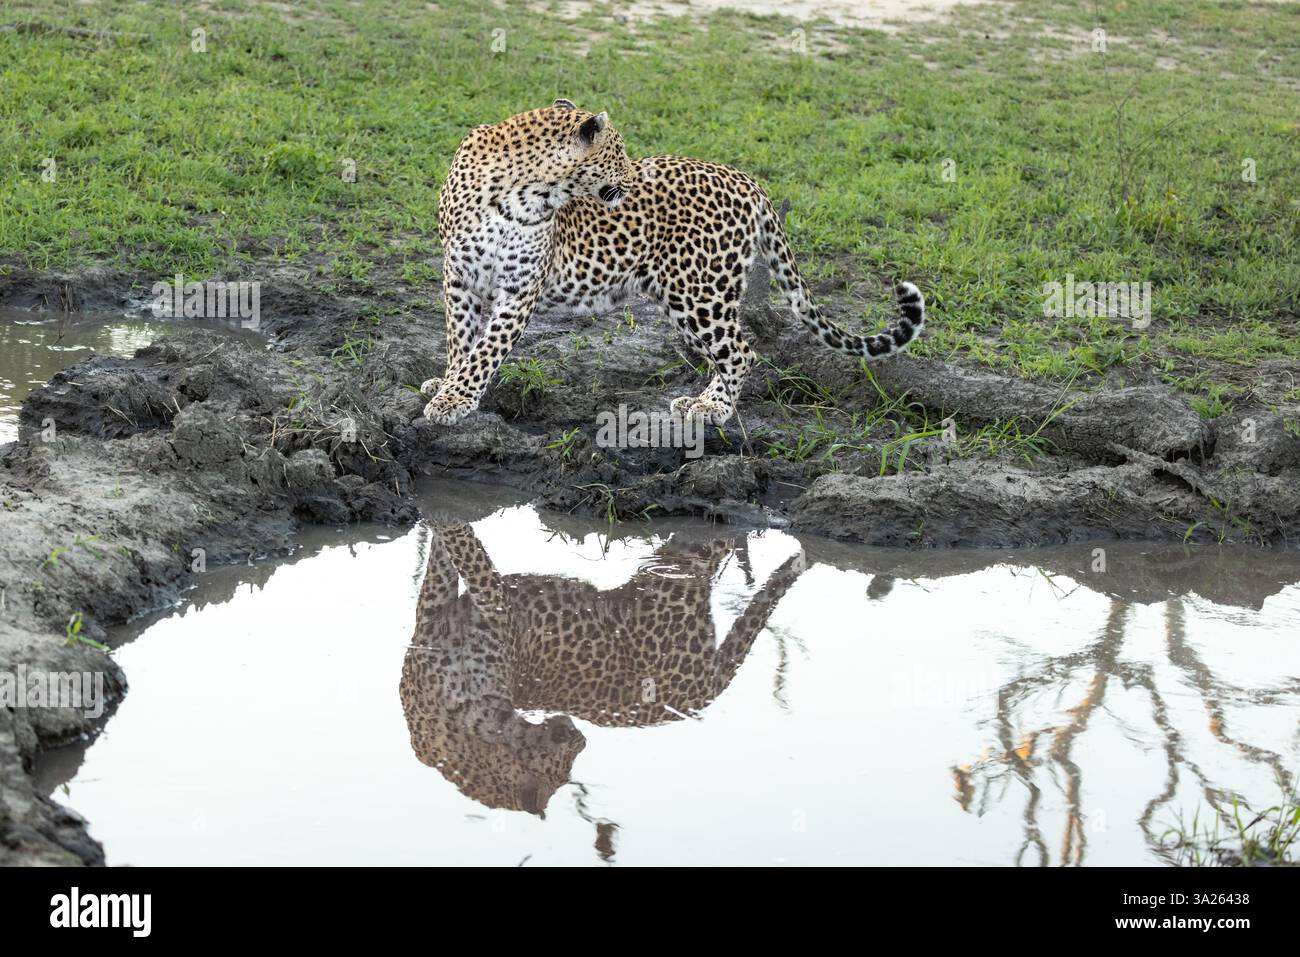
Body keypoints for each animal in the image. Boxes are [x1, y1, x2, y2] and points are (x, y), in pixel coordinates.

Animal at [399, 522, 805, 816]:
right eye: (565, 767)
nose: (581, 739)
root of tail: (698, 697)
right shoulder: (439, 612)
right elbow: (452, 551)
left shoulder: (497, 606)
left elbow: (466, 549)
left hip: (673, 588)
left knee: (716, 543)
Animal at [420, 99, 926, 426]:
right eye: (618, 153)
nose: (630, 178)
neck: (518, 194)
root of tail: (747, 179)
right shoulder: (458, 278)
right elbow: (460, 341)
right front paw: (447, 385)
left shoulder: (520, 288)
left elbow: (487, 349)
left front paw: (454, 401)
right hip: (690, 296)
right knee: (733, 351)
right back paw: (705, 401)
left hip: (699, 293)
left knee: (742, 351)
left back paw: (713, 409)